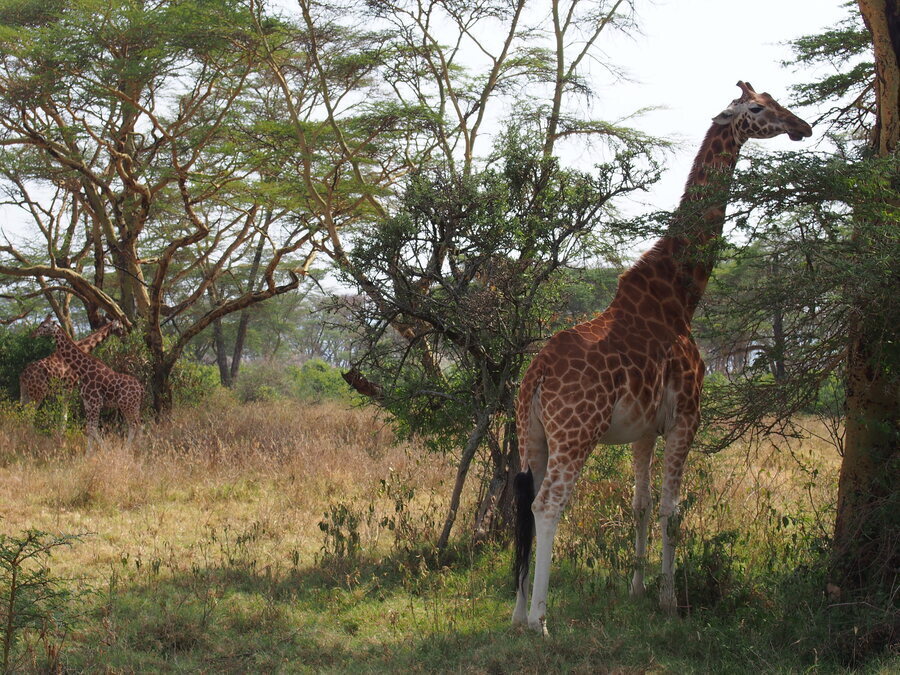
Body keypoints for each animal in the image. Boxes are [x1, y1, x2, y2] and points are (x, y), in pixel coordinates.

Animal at [32, 315, 143, 450]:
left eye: (45, 326)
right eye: (41, 323)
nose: (33, 334)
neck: (83, 371)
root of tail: (140, 388)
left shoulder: (95, 402)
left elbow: (93, 429)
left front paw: (105, 450)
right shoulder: (87, 403)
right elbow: (90, 429)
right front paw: (89, 453)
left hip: (127, 405)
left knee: (134, 425)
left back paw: (127, 449)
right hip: (134, 405)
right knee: (139, 424)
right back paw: (139, 447)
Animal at [512, 82, 812, 634]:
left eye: (774, 99)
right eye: (757, 108)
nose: (800, 126)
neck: (681, 295)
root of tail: (537, 374)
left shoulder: (644, 431)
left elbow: (642, 505)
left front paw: (637, 590)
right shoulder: (686, 418)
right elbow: (674, 511)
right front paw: (670, 600)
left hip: (532, 434)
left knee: (523, 503)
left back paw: (518, 614)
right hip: (577, 432)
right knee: (548, 505)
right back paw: (541, 620)